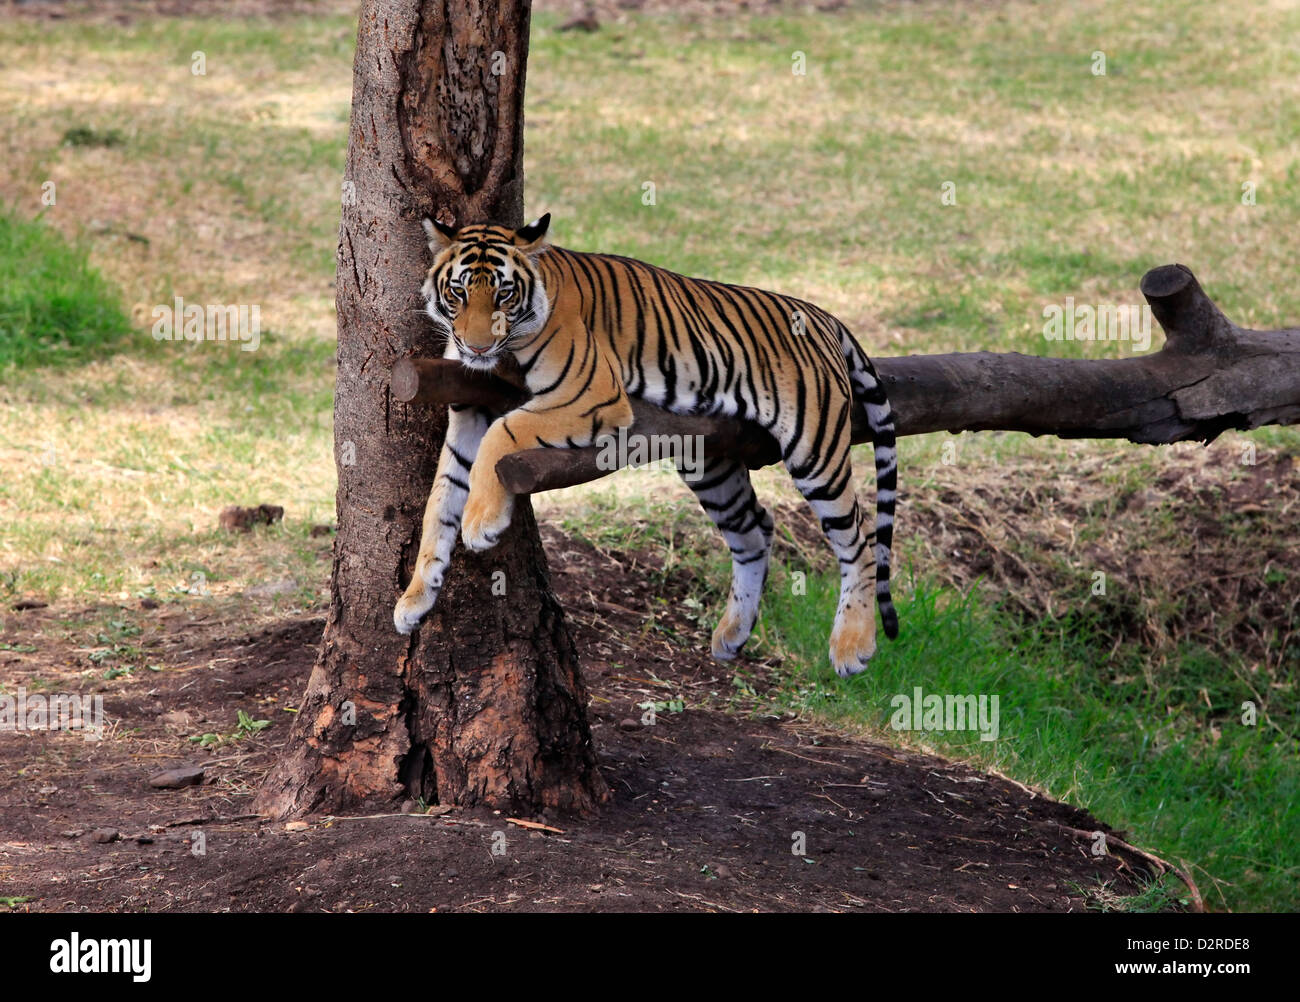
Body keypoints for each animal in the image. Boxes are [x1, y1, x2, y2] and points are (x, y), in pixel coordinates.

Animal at [393, 213, 900, 678]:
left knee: (861, 539)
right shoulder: (467, 412)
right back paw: (732, 634)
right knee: (755, 529)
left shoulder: (590, 393)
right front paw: (414, 600)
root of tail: (822, 314)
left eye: (504, 293)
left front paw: (482, 523)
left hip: (816, 449)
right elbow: (439, 502)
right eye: (458, 293)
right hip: (710, 465)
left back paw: (852, 646)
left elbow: (505, 431)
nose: (477, 347)